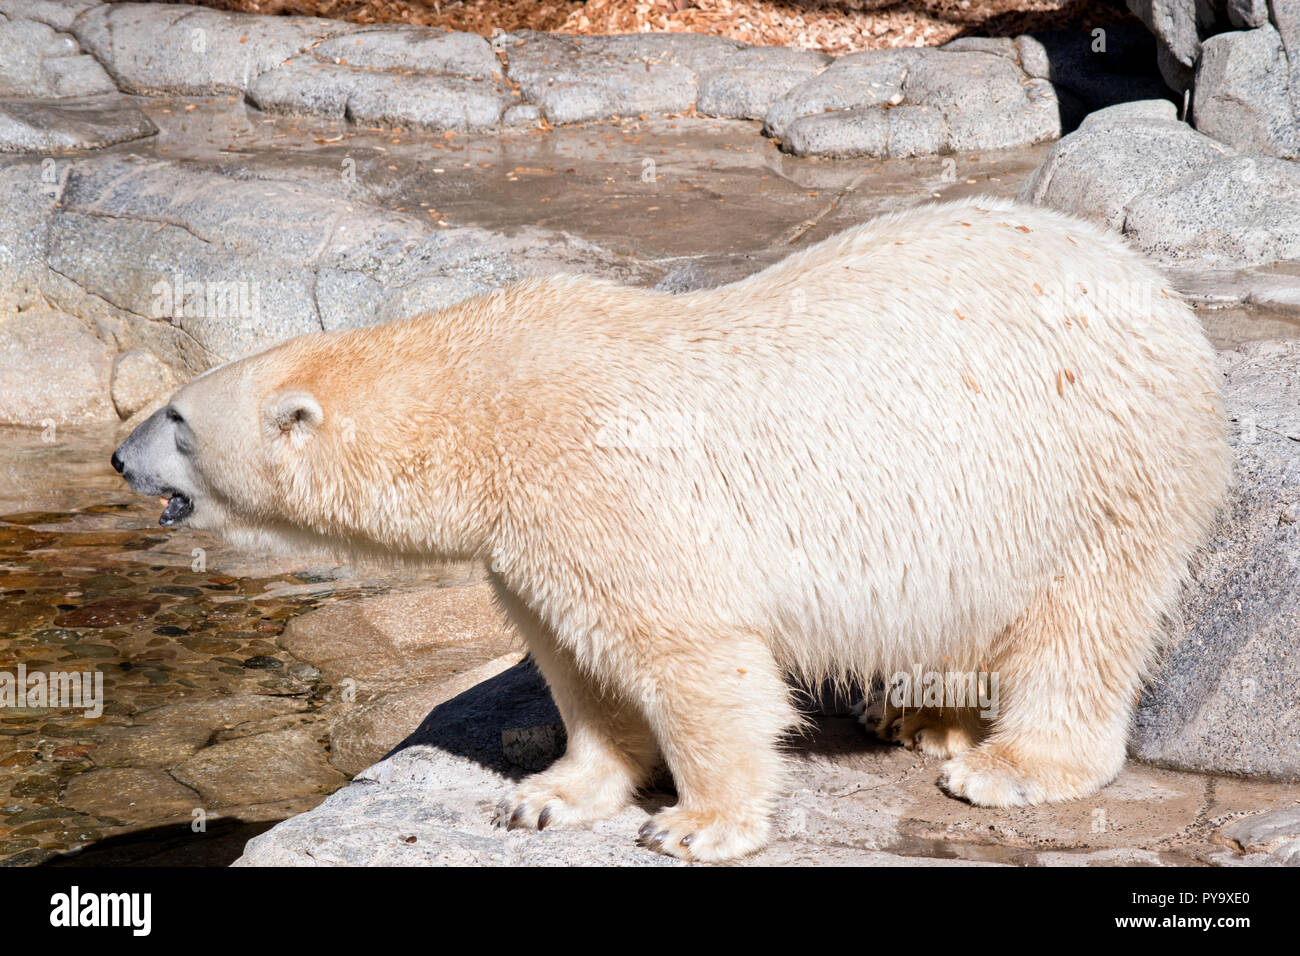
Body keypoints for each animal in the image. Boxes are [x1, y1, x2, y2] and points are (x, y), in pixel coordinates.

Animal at [111, 197, 1231, 862]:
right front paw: (548, 797)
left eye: (175, 415)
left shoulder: (604, 486)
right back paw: (917, 717)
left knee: (1084, 620)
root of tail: (1152, 284)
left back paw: (1004, 763)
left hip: (1094, 465)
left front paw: (696, 823)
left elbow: (694, 661)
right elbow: (577, 660)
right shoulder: (529, 537)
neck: (486, 402)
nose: (118, 457)